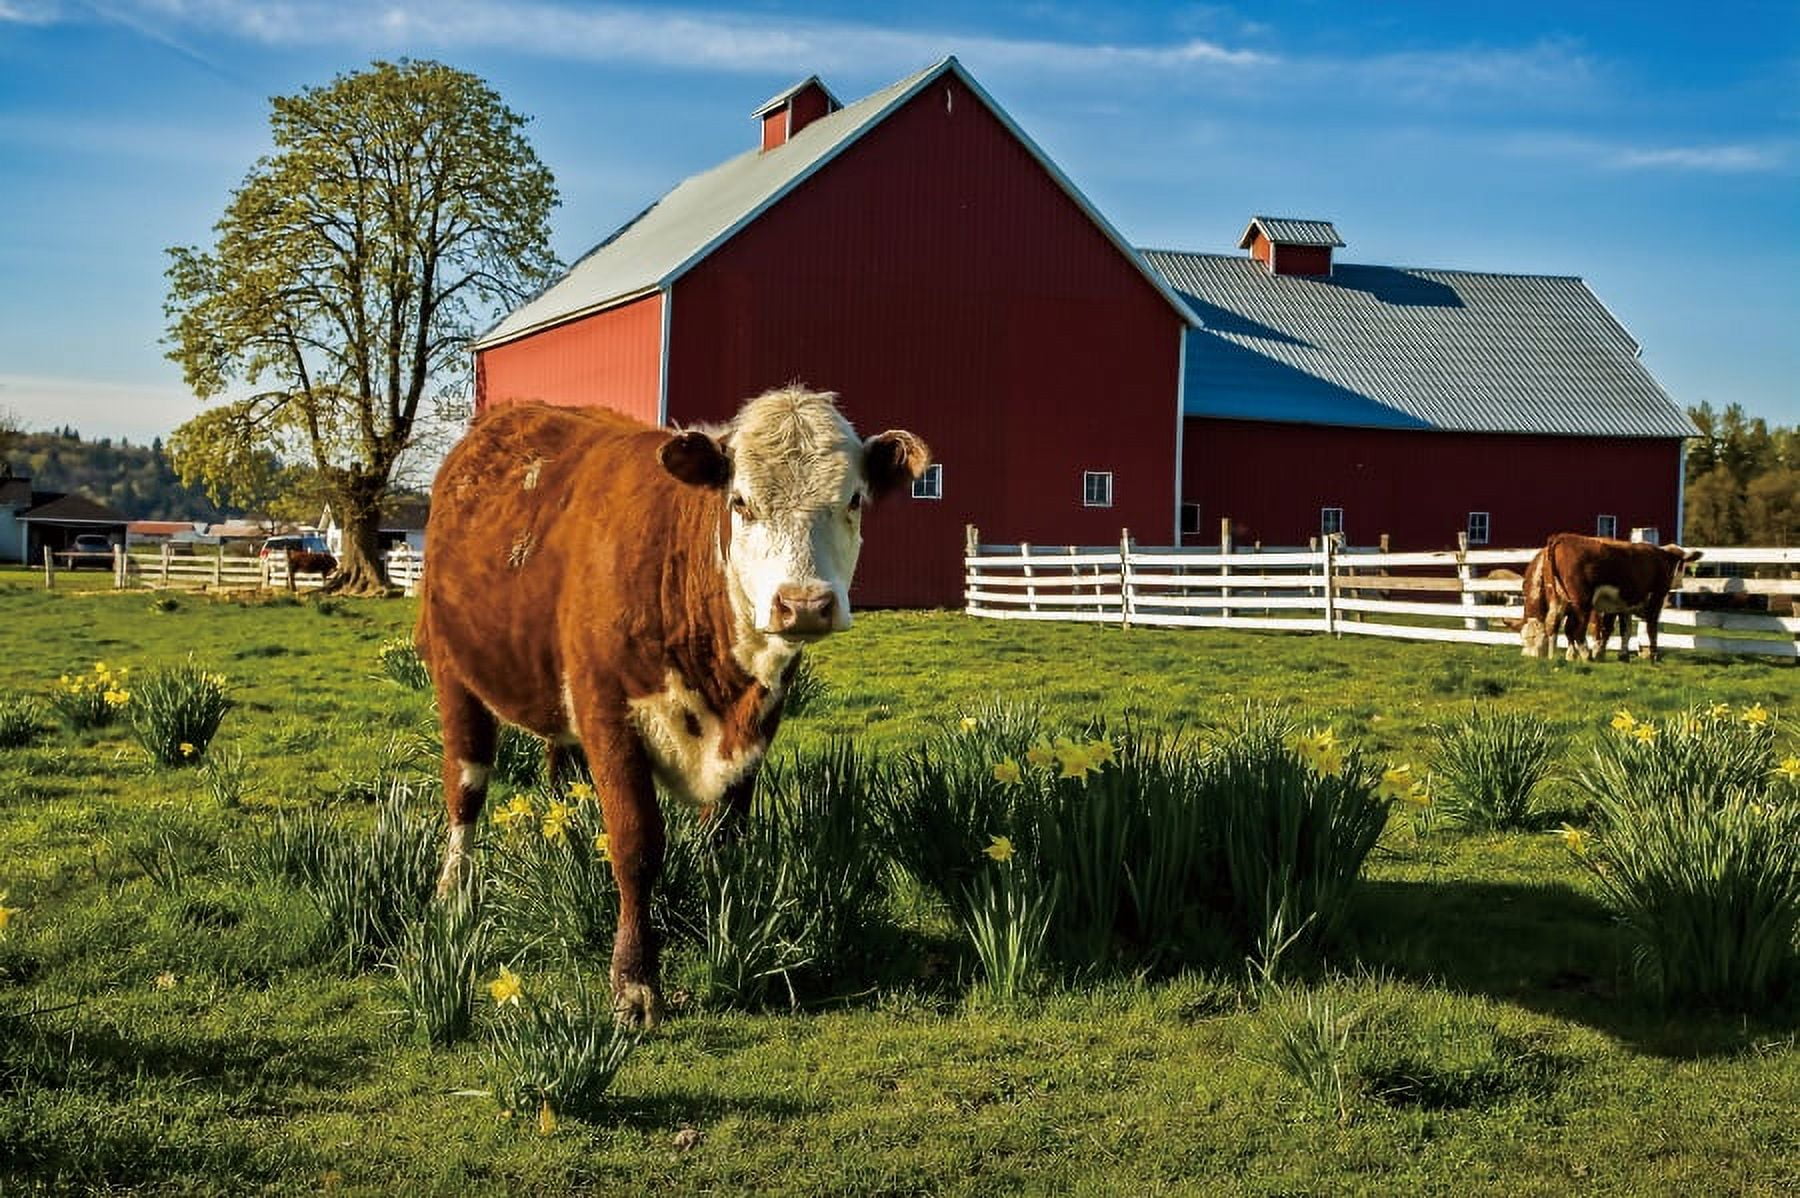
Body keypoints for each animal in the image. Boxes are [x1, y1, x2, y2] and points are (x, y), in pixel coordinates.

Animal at [416, 387, 928, 1027]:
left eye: (853, 499)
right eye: (741, 502)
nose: (804, 604)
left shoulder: (757, 724)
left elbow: (725, 844)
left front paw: (727, 942)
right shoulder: (608, 714)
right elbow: (636, 845)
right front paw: (634, 982)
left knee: (558, 778)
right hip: (454, 674)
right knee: (465, 787)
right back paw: (452, 891)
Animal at [1533, 534, 1702, 662]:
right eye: (1682, 565)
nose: (1680, 583)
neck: (1662, 559)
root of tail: (1563, 537)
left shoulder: (1623, 606)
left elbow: (1624, 630)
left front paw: (1621, 654)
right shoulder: (1656, 600)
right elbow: (1651, 628)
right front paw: (1653, 655)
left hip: (1559, 599)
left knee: (1554, 625)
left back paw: (1560, 655)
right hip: (1582, 603)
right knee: (1576, 630)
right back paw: (1585, 655)